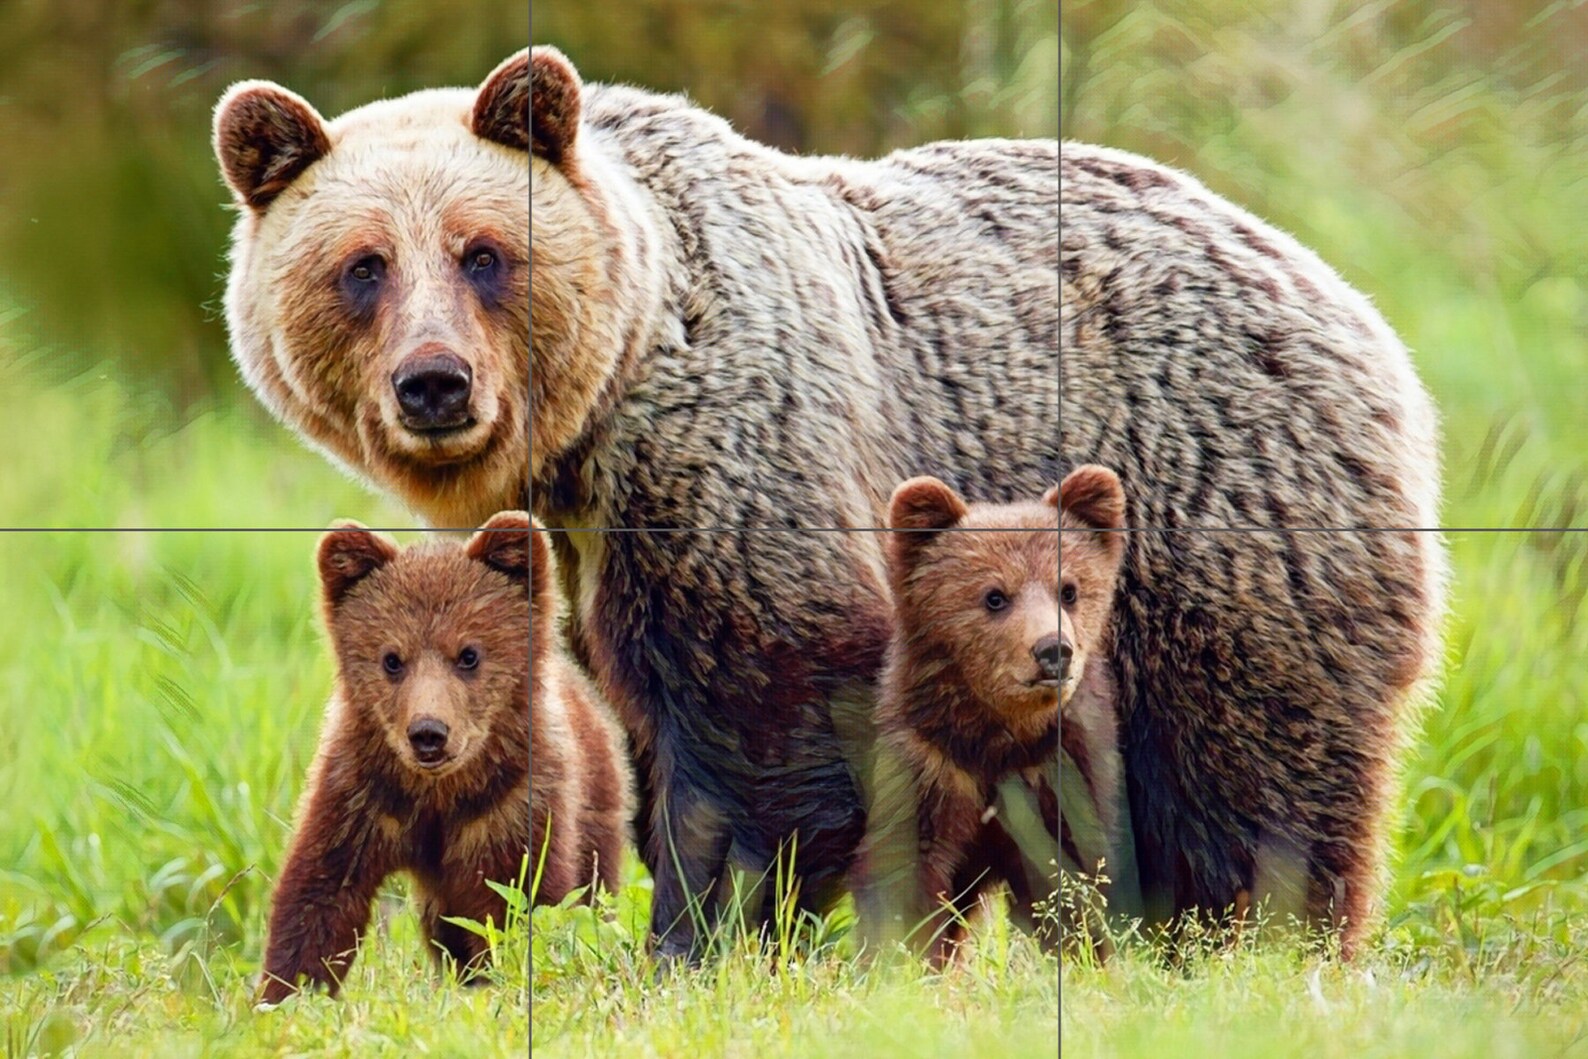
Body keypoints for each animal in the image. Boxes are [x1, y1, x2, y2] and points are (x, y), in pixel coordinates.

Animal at [258, 511, 624, 1005]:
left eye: (468, 654)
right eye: (392, 658)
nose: (428, 733)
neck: (438, 793)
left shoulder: (512, 807)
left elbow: (519, 902)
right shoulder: (359, 796)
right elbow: (319, 896)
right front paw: (285, 995)